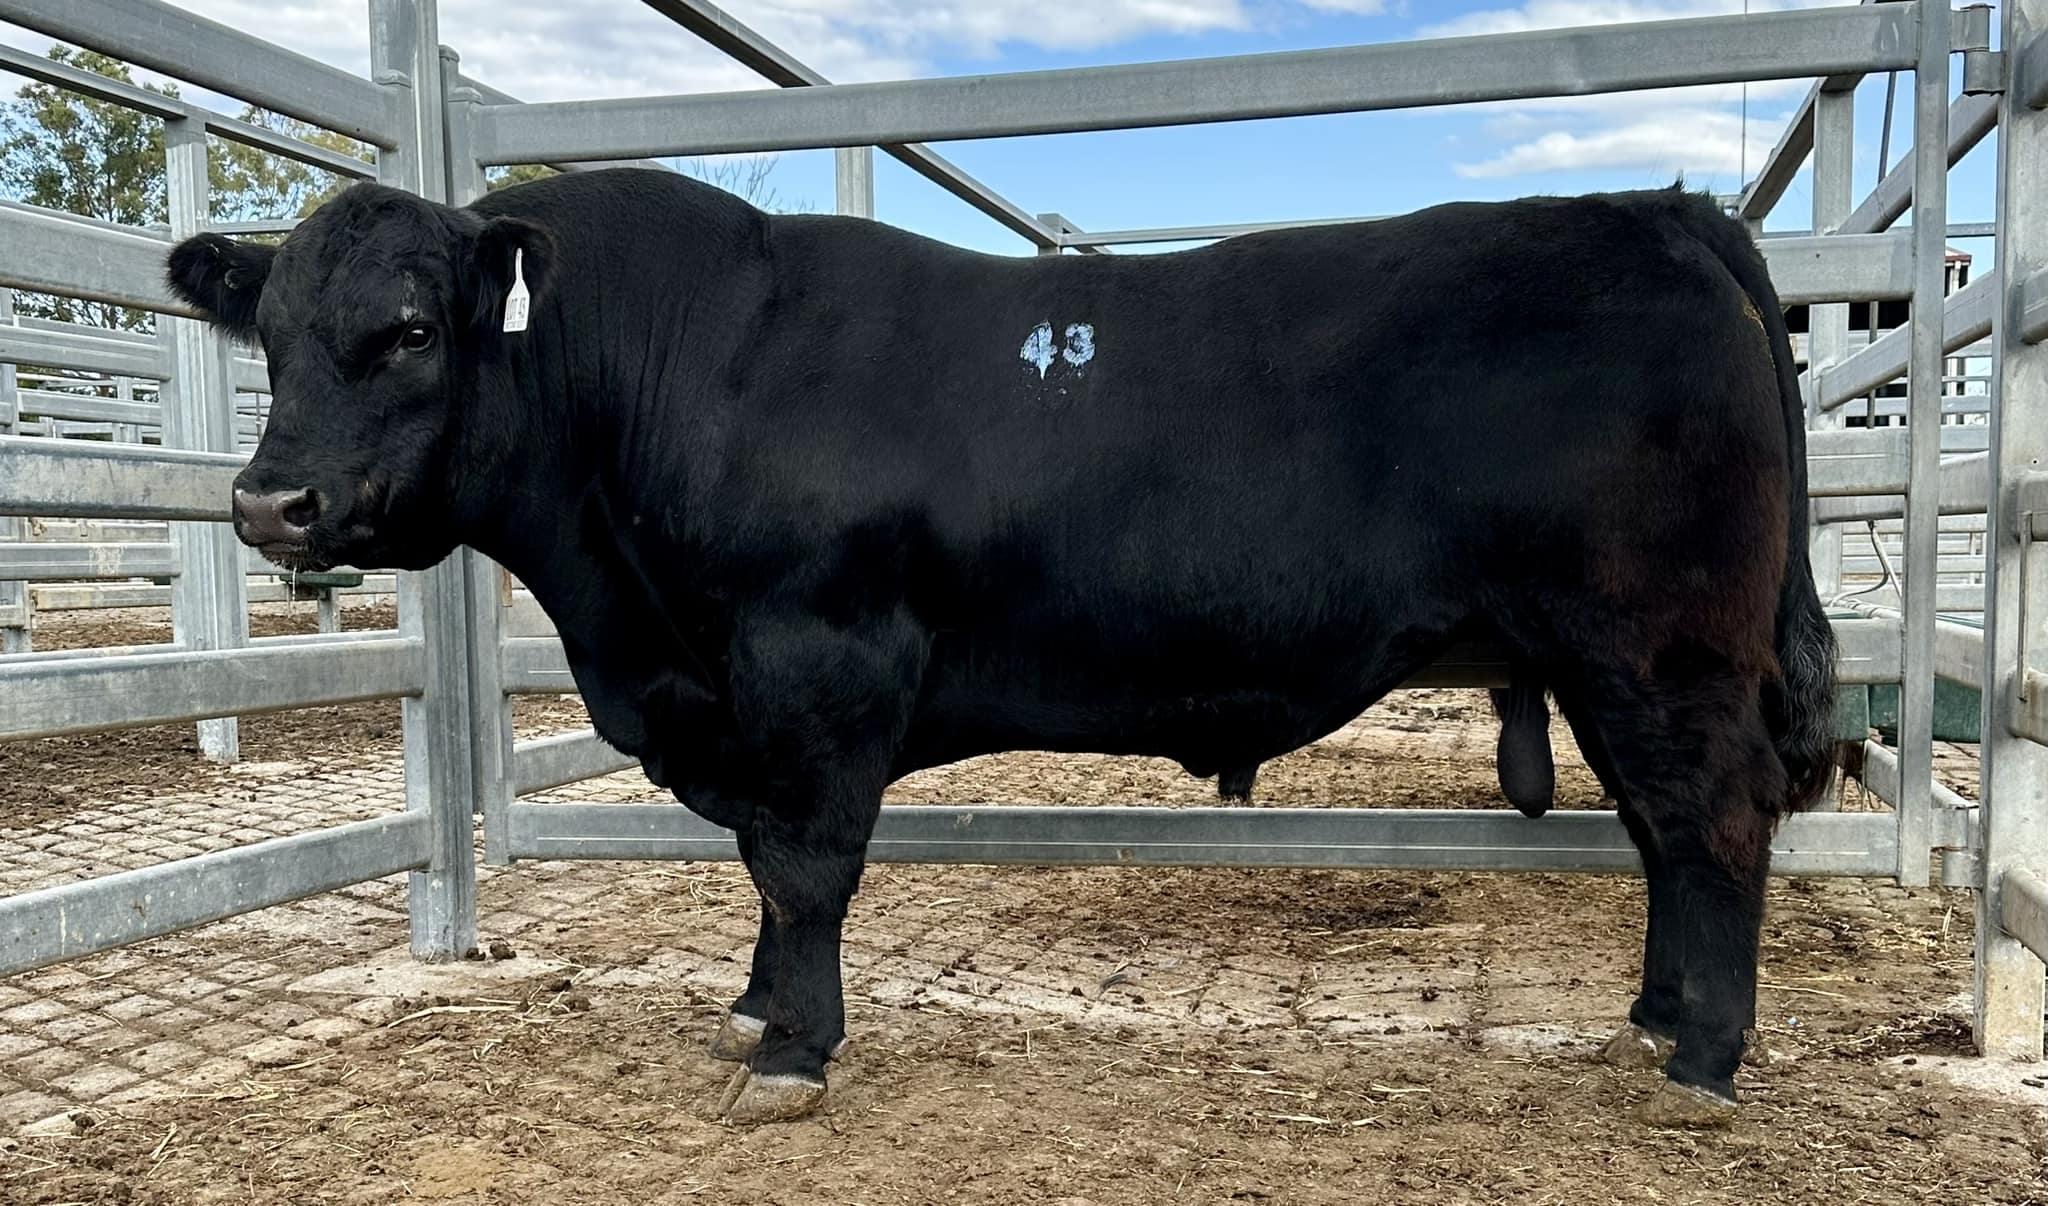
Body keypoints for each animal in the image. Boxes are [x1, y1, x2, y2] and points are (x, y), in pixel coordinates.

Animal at [166, 169, 1834, 1130]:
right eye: (275, 334)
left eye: (409, 329)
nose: (270, 501)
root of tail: (1656, 210)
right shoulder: (734, 695)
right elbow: (759, 860)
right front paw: (756, 1008)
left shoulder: (818, 657)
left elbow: (804, 862)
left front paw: (795, 1050)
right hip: (1614, 664)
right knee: (1665, 829)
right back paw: (1659, 1015)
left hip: (1658, 645)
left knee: (1717, 814)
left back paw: (1706, 1057)